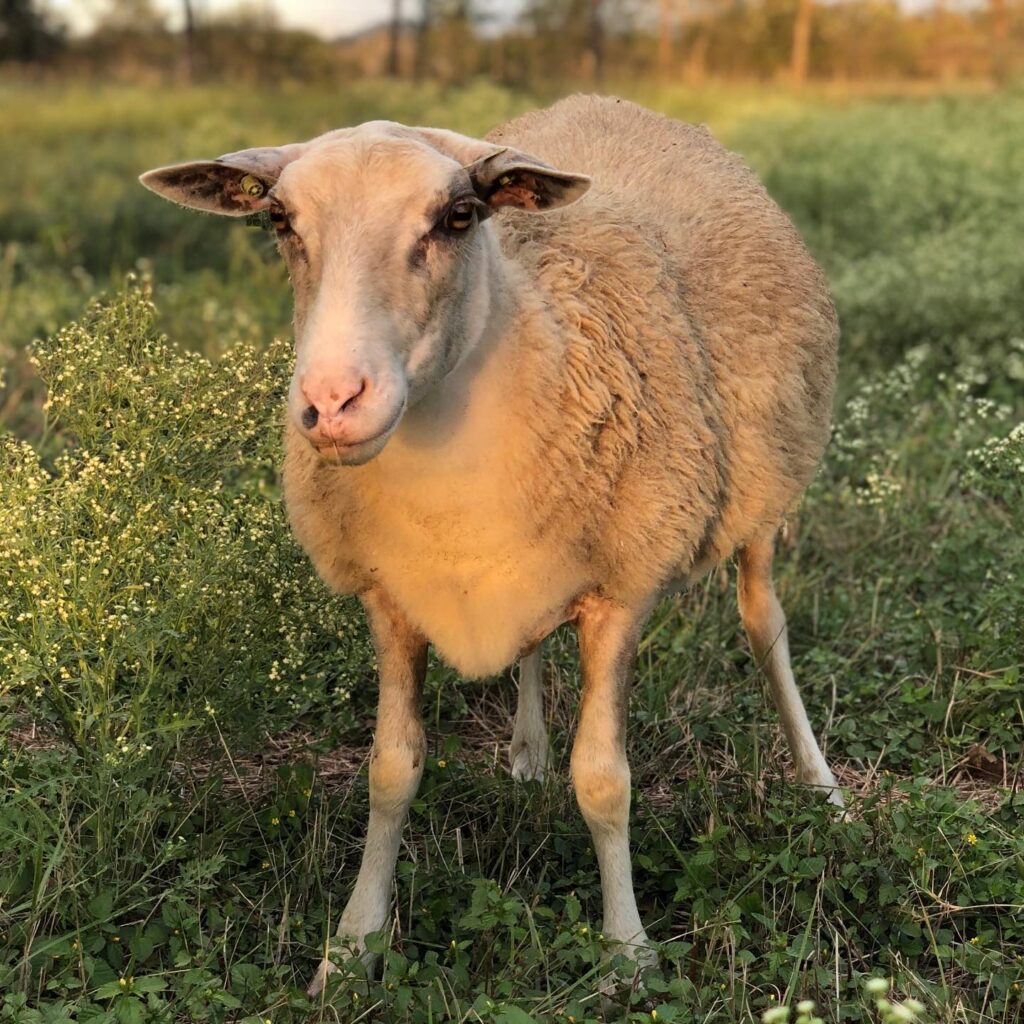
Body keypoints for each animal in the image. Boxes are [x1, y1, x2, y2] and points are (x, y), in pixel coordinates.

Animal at [140, 93, 841, 996]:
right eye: (280, 222)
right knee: (535, 646)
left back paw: (821, 786)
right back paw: (527, 752)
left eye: (458, 216)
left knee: (764, 625)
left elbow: (604, 782)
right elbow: (391, 771)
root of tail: (607, 100)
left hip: (763, 483)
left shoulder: (622, 590)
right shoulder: (393, 598)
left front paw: (627, 956)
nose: (332, 401)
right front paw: (352, 947)